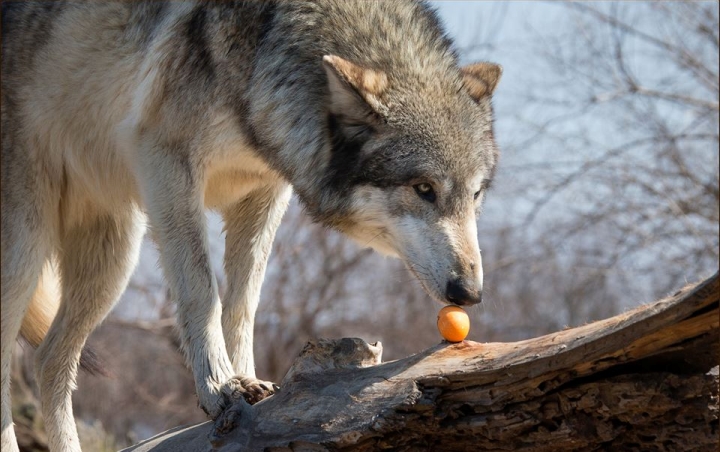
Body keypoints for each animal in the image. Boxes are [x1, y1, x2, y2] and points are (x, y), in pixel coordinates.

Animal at [1, 1, 501, 450]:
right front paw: (220, 388)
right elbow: (203, 291)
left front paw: (249, 383)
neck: (265, 48)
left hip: (113, 261)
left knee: (48, 360)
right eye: (423, 189)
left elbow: (243, 301)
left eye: (476, 194)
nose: (471, 293)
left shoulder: (263, 193)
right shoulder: (166, 162)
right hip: (28, 250)